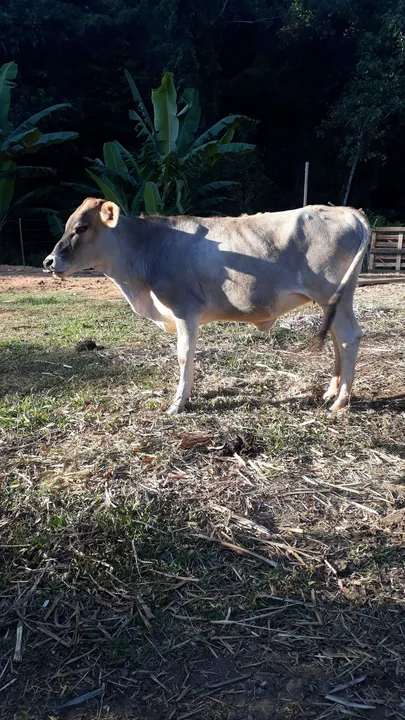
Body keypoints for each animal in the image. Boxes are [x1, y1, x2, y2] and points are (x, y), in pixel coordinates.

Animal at [43, 199, 370, 415]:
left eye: (82, 227)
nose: (48, 261)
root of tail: (346, 211)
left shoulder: (186, 310)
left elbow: (184, 356)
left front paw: (178, 404)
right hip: (332, 302)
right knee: (337, 340)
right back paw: (331, 391)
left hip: (334, 296)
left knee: (348, 338)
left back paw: (340, 402)